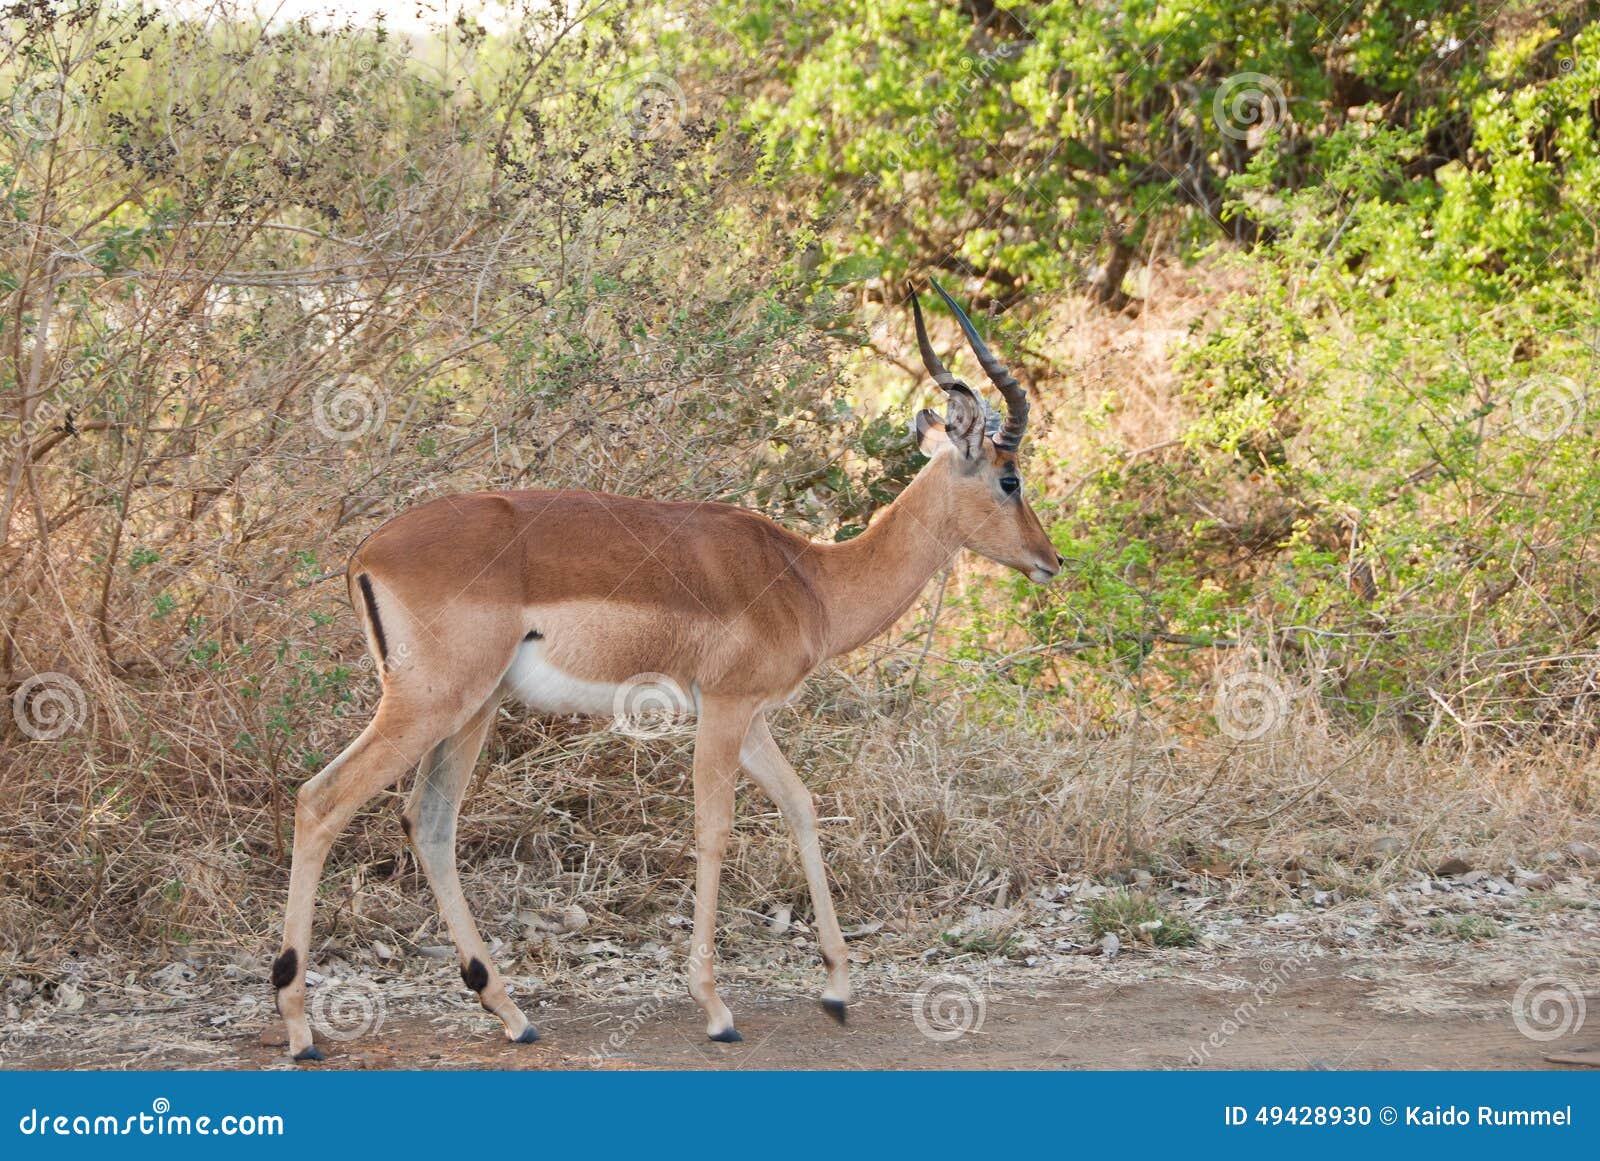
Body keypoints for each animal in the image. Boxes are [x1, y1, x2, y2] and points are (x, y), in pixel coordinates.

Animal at [272, 279, 1061, 1060]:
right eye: (1010, 478)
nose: (1052, 560)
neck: (810, 578)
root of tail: (365, 551)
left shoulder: (748, 718)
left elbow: (800, 805)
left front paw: (837, 989)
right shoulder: (726, 707)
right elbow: (715, 829)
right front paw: (716, 1007)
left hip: (473, 709)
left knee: (429, 821)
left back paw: (511, 1012)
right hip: (431, 703)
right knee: (320, 799)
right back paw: (301, 1027)